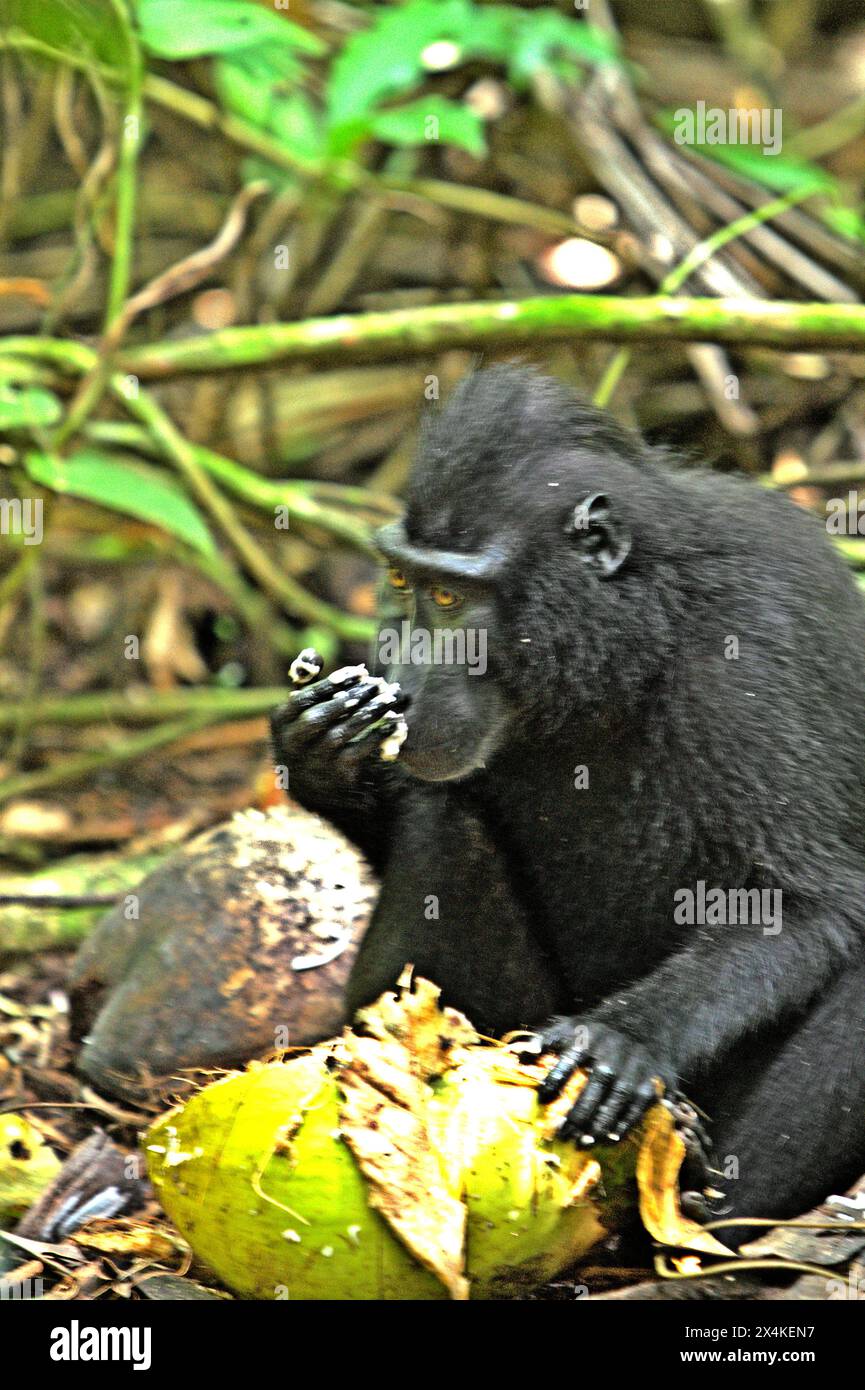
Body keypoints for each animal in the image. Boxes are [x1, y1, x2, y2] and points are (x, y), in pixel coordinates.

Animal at [271, 364, 865, 1231]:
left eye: (450, 600)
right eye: (402, 581)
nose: (407, 682)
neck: (642, 625)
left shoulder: (757, 648)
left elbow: (804, 903)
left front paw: (621, 1043)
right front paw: (319, 753)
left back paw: (712, 1208)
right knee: (450, 824)